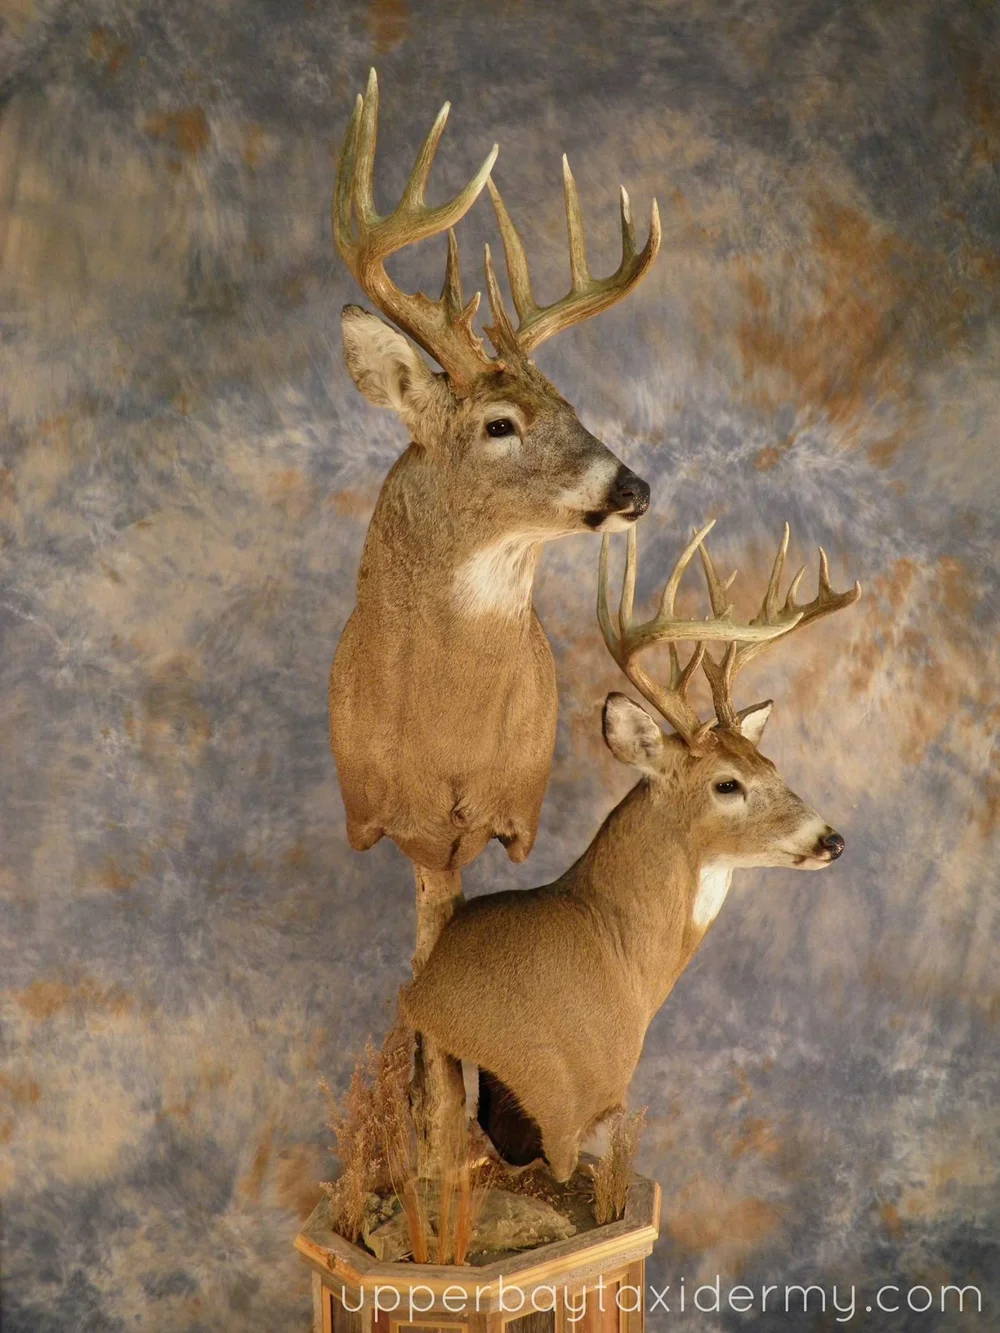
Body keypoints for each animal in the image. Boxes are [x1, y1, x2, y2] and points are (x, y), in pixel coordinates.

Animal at [328, 70, 662, 1170]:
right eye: (499, 423)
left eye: (573, 403)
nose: (634, 485)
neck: (444, 730)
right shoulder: (397, 822)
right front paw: (438, 1154)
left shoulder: (498, 816)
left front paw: (450, 1147)